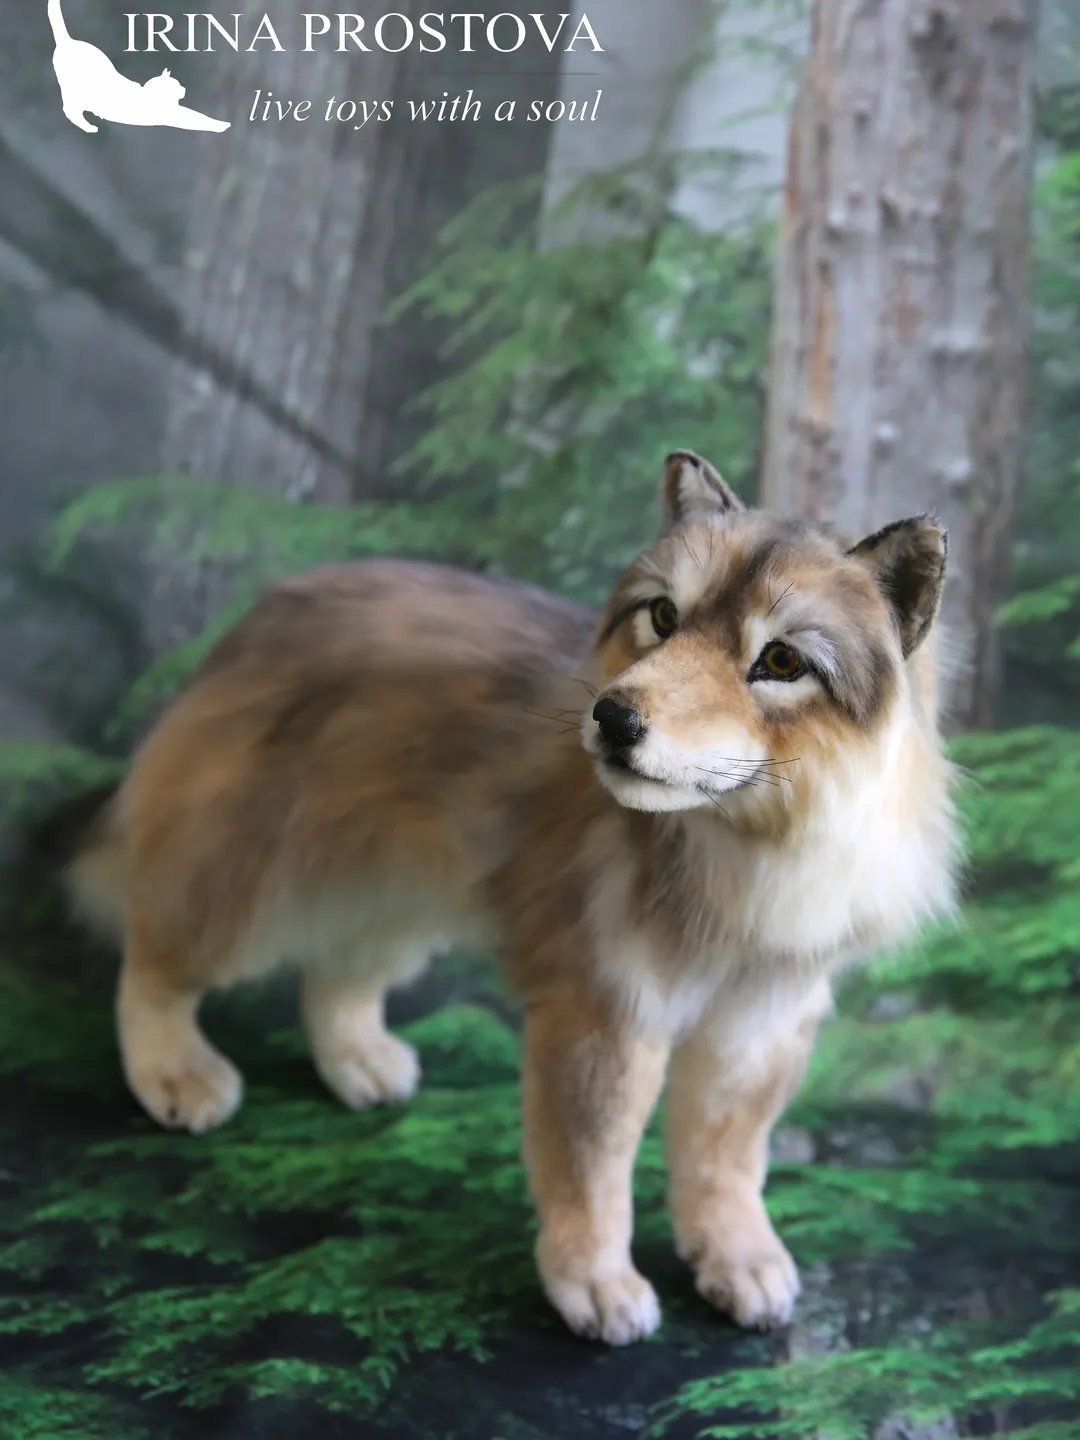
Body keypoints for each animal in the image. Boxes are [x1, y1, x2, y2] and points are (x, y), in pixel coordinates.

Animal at [65, 451, 960, 1345]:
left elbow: (726, 1167)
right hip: (247, 885)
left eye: (780, 663)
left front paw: (736, 1259)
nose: (613, 718)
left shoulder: (758, 1028)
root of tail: (266, 609)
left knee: (336, 977)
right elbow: (590, 1174)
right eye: (663, 615)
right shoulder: (604, 1016)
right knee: (151, 964)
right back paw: (175, 1074)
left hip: (392, 887)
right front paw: (593, 1282)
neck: (735, 852)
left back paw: (358, 1061)